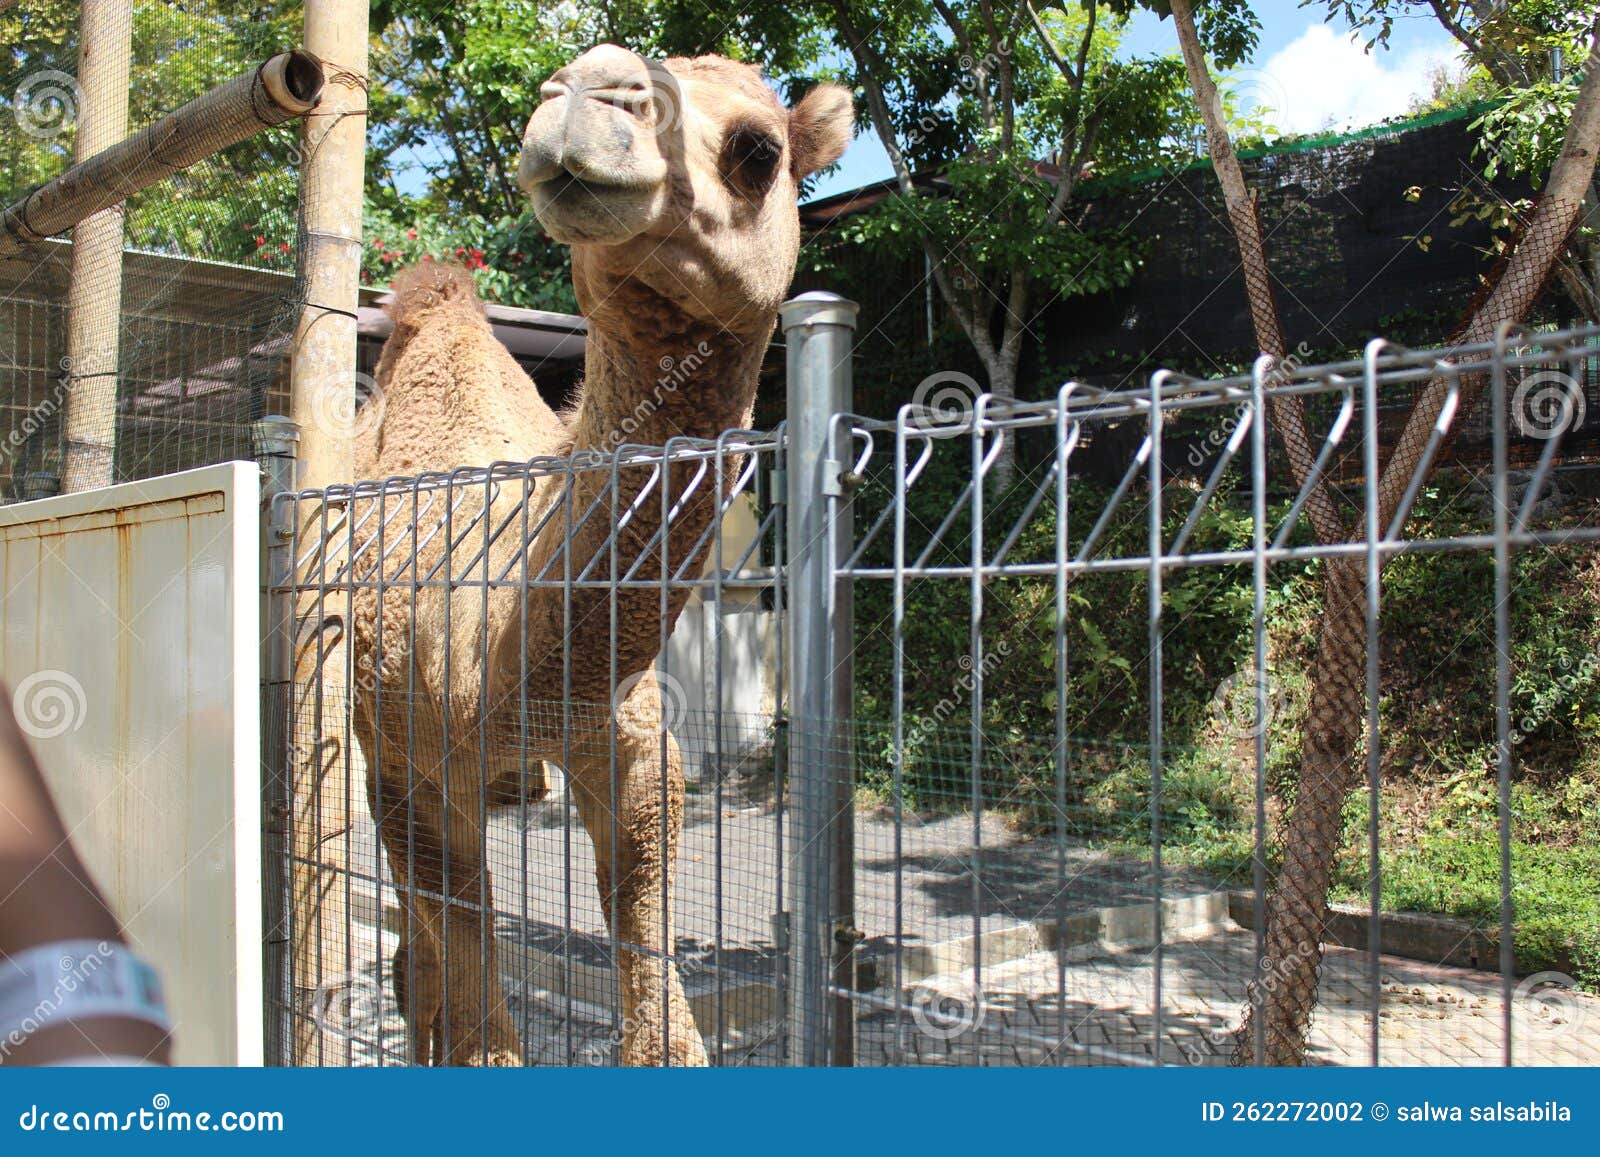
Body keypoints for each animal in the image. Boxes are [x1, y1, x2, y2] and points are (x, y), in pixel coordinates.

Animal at [345, 44, 852, 1066]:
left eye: (759, 149)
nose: (585, 90)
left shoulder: (633, 744)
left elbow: (653, 988)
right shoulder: (404, 765)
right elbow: (477, 1011)